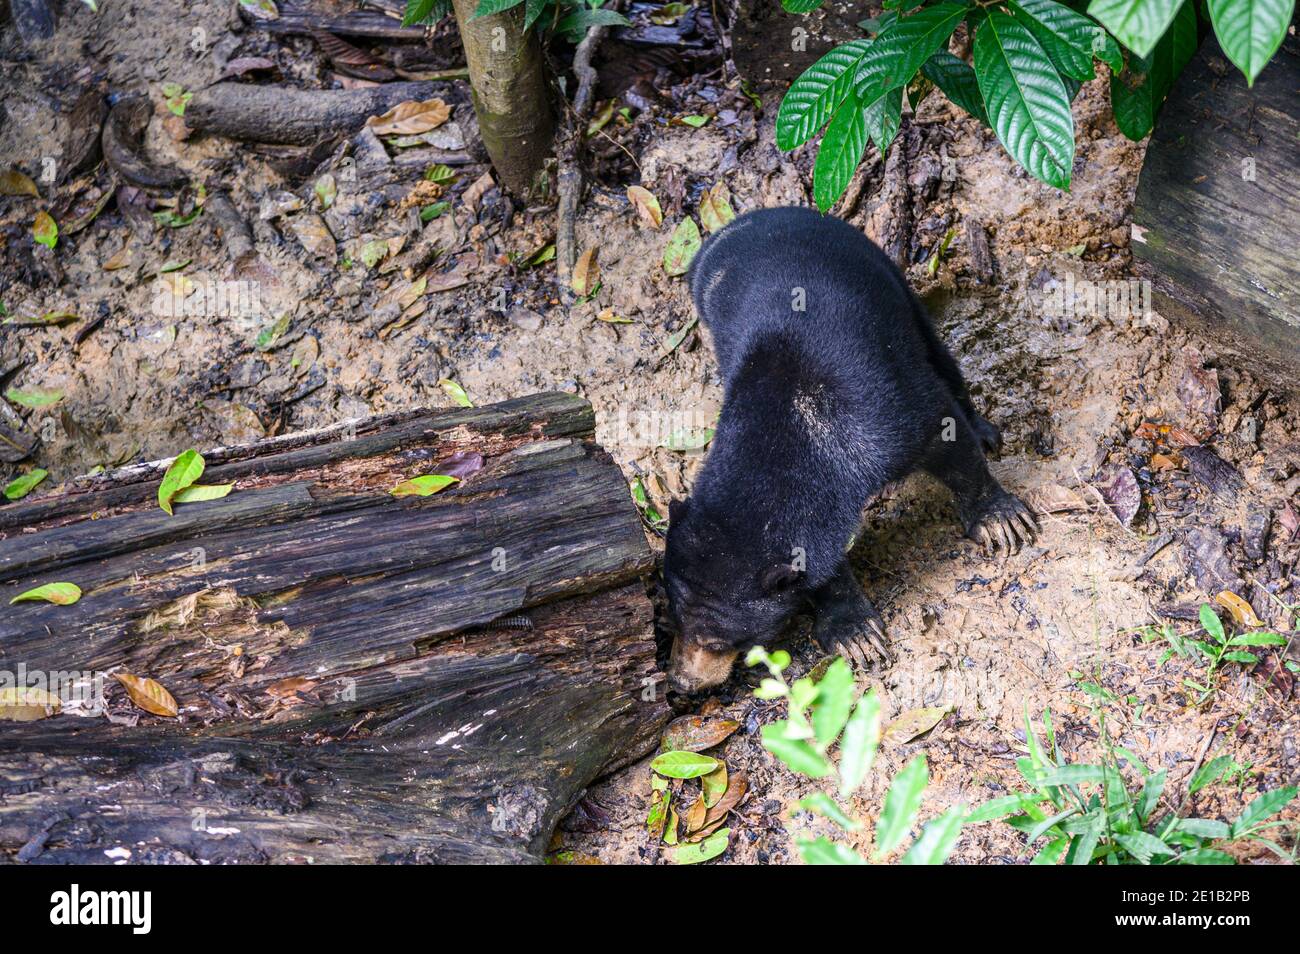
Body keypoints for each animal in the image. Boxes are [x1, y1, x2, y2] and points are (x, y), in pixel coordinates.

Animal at [663, 206, 1035, 694]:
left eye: (719, 639)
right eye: (675, 619)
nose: (681, 682)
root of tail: (742, 223)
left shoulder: (886, 418)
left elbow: (946, 436)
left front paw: (999, 520)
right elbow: (820, 565)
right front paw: (853, 633)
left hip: (884, 271)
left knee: (934, 348)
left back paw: (983, 428)